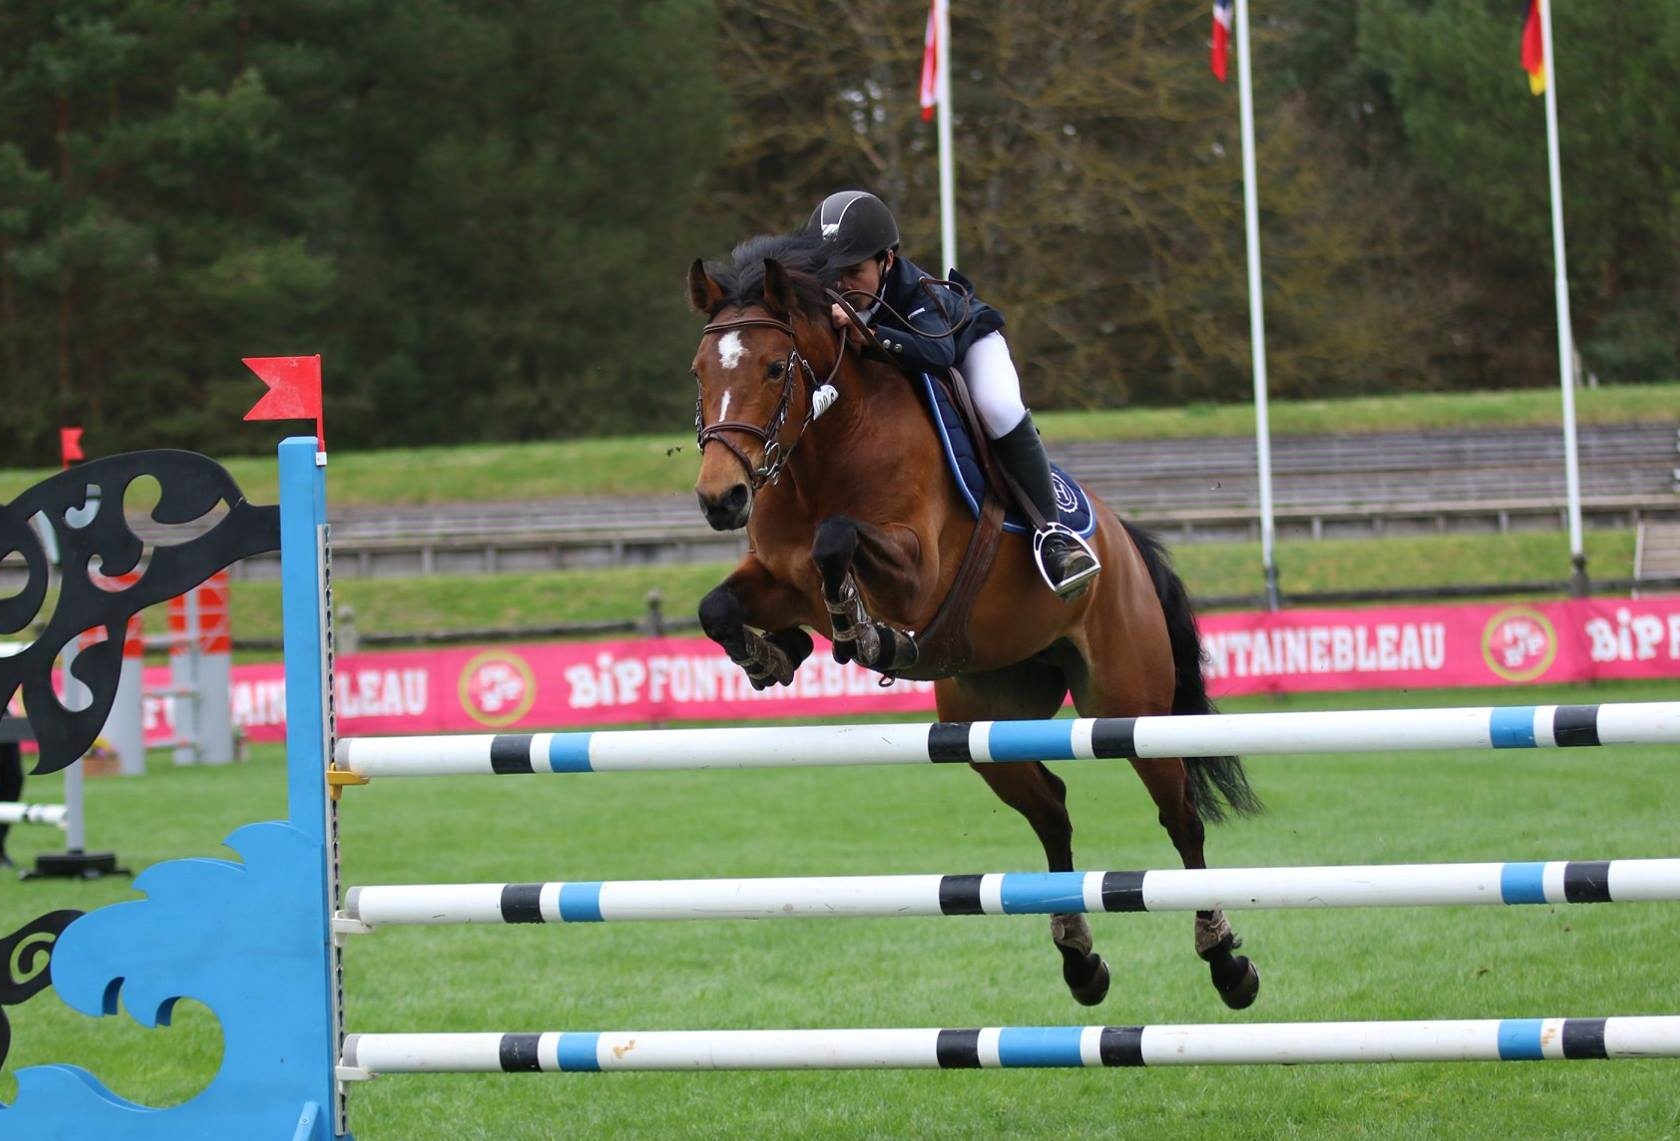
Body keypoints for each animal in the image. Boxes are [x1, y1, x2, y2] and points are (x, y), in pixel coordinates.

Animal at [685, 231, 1263, 1010]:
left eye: (776, 367)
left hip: (1129, 706)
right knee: (1051, 808)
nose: (721, 498)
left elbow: (838, 540)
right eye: (698, 372)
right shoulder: (778, 578)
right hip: (984, 721)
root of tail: (1123, 541)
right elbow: (718, 605)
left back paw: (1227, 962)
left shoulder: (917, 571)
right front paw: (773, 653)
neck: (819, 454)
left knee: (1181, 818)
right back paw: (1081, 962)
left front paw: (865, 633)